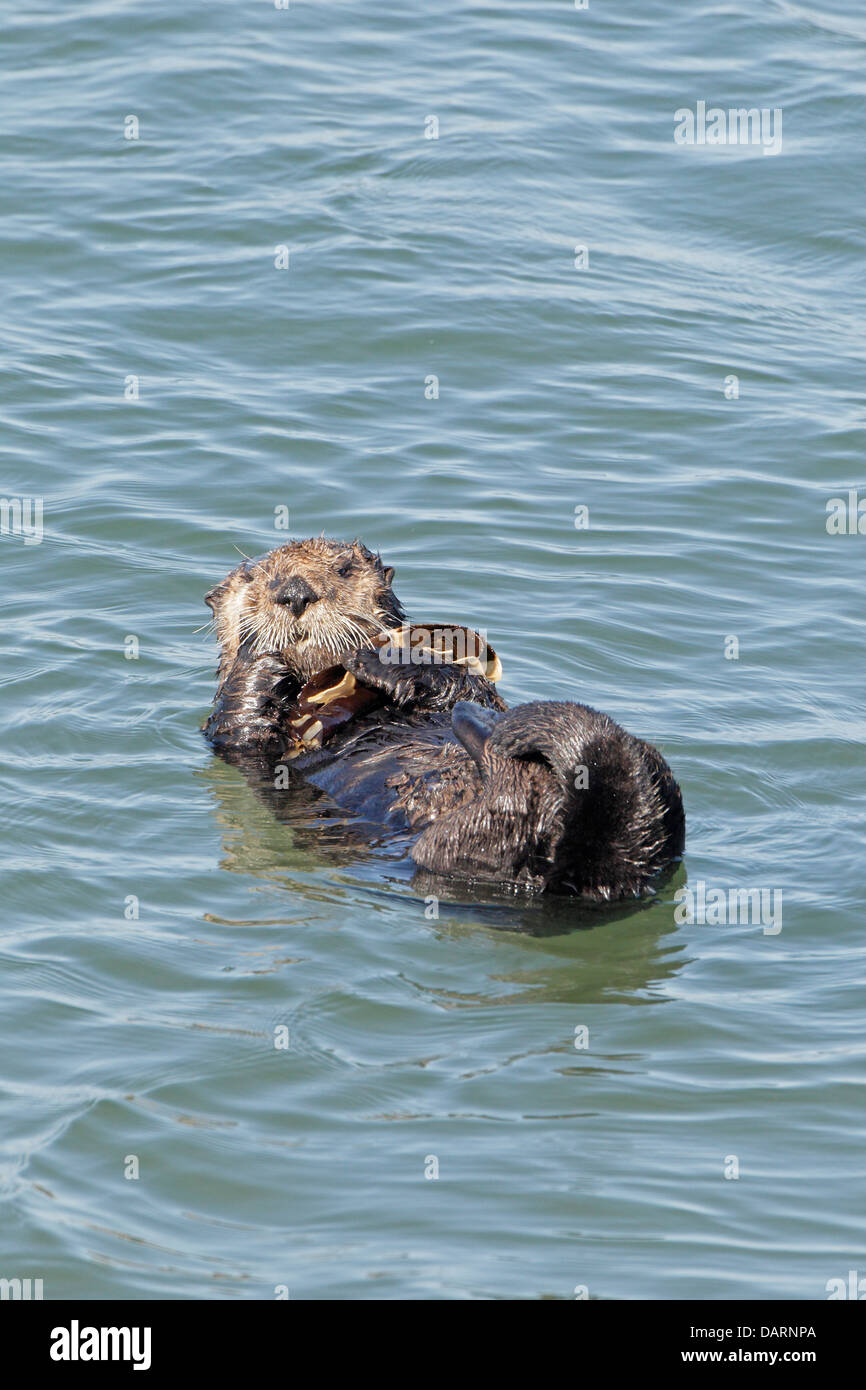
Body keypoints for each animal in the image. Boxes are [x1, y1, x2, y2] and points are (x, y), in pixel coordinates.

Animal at [203, 537, 685, 900]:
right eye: (255, 578)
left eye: (343, 570)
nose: (294, 593)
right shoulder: (249, 753)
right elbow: (238, 730)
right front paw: (258, 652)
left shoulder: (475, 687)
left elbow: (463, 682)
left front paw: (385, 660)